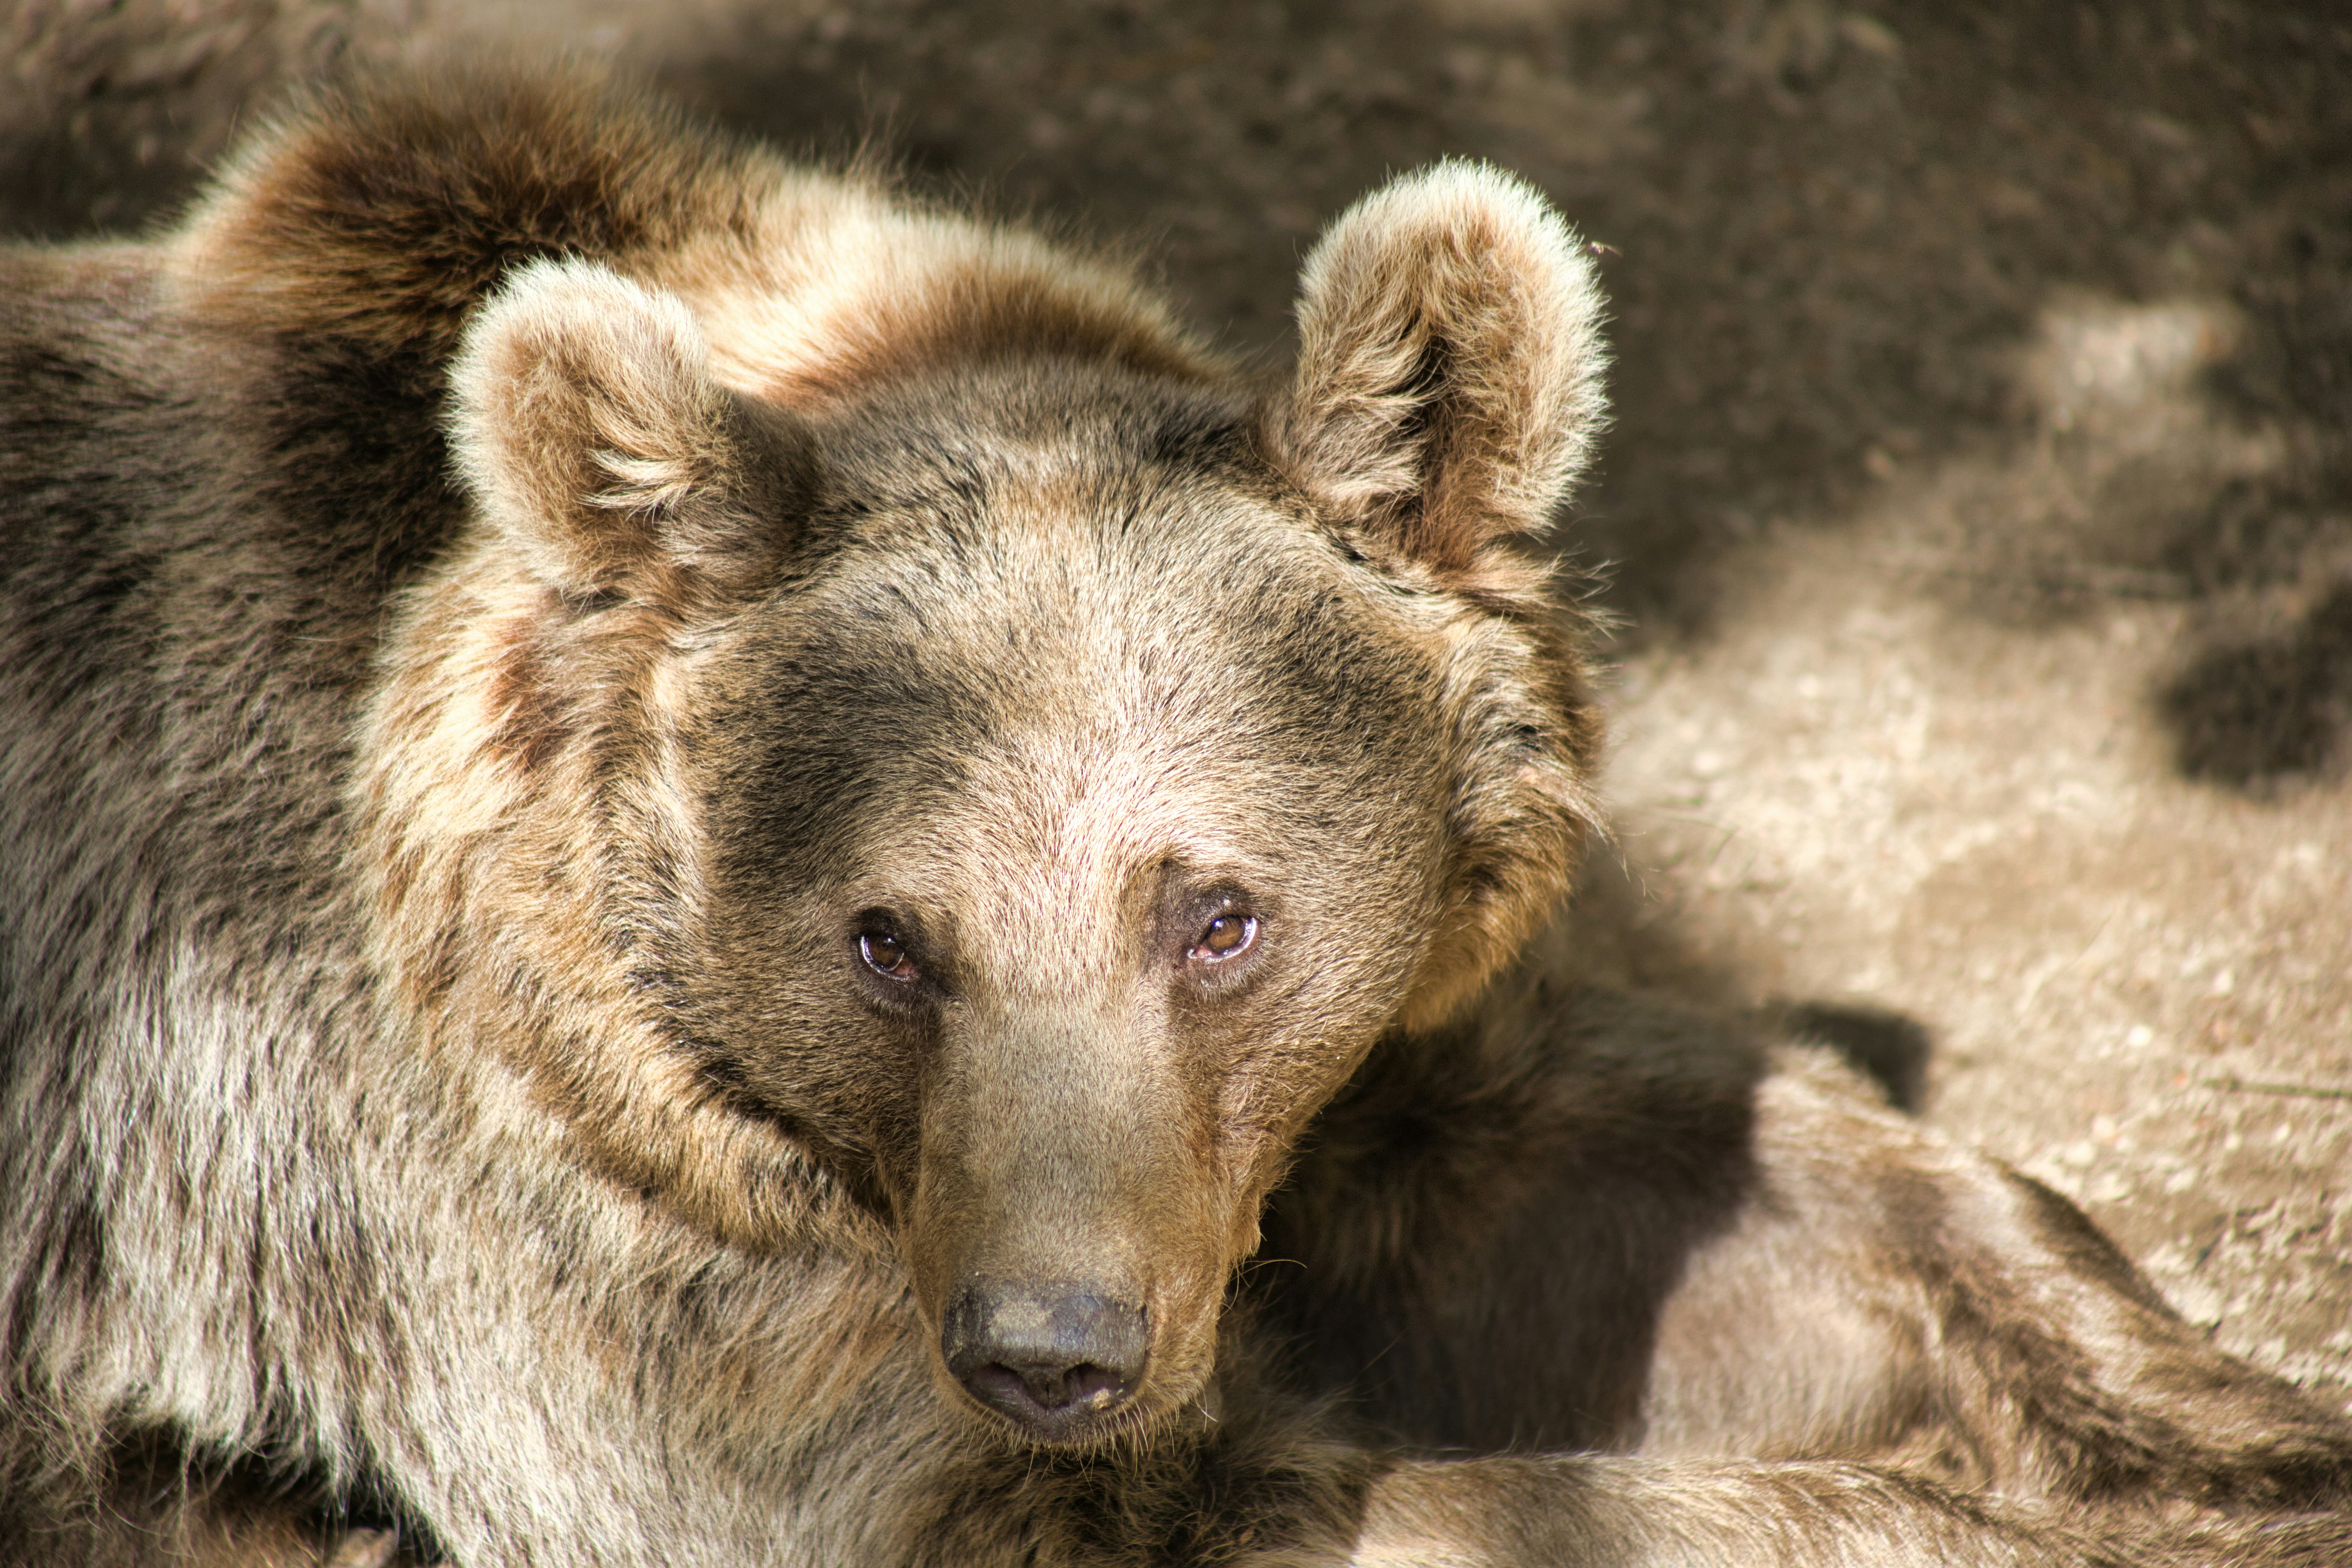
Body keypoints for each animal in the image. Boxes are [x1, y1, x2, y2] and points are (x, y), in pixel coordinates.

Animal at [1, 67, 2348, 1567]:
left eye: (1217, 913)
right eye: (887, 936)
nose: (1052, 1344)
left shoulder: (1348, 1081)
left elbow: (1761, 1171)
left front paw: (2242, 1441)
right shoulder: (569, 1261)